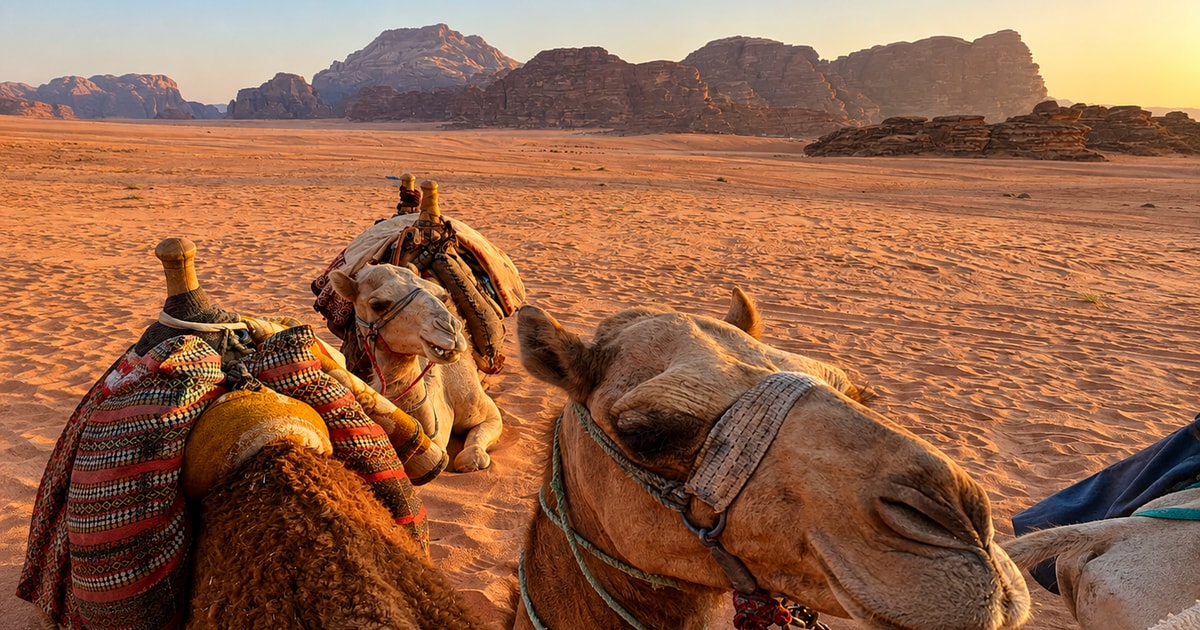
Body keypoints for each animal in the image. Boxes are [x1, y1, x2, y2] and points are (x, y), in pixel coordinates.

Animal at [328, 263, 503, 472]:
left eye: (440, 295)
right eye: (376, 304)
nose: (450, 329)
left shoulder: (481, 406)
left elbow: (472, 450)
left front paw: (474, 459)